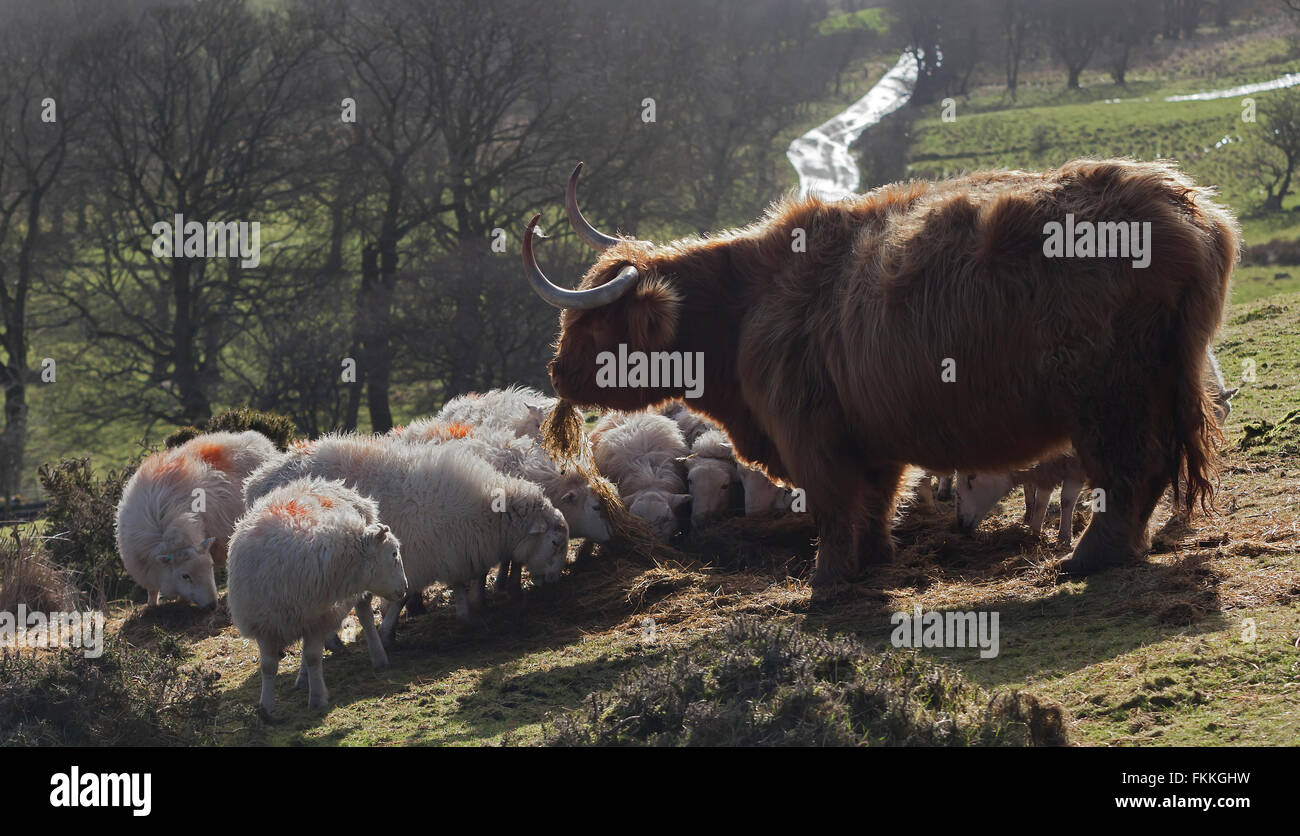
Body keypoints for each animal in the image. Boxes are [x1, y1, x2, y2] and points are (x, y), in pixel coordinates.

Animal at [115, 449, 238, 609]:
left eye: (211, 566)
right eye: (185, 576)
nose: (212, 605)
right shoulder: (145, 567)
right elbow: (152, 589)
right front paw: (151, 605)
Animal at [227, 477, 407, 719]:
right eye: (394, 554)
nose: (405, 588)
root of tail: (325, 482)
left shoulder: (317, 620)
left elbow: (313, 657)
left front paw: (318, 699)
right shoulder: (265, 624)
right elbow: (268, 666)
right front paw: (265, 708)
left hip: (351, 599)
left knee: (366, 620)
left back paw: (378, 658)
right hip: (303, 614)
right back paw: (302, 679)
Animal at [243, 435, 569, 644]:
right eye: (555, 543)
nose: (555, 581)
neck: (488, 510)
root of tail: (256, 481)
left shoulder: (451, 553)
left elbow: (459, 586)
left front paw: (466, 617)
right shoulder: (414, 558)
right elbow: (403, 597)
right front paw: (388, 632)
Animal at [520, 160, 1238, 589]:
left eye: (596, 328)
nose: (558, 371)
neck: (748, 306)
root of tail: (1190, 208)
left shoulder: (811, 435)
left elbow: (835, 506)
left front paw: (827, 583)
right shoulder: (871, 433)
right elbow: (875, 500)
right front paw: (874, 562)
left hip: (1110, 397)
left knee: (1130, 469)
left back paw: (1090, 557)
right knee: (1148, 471)